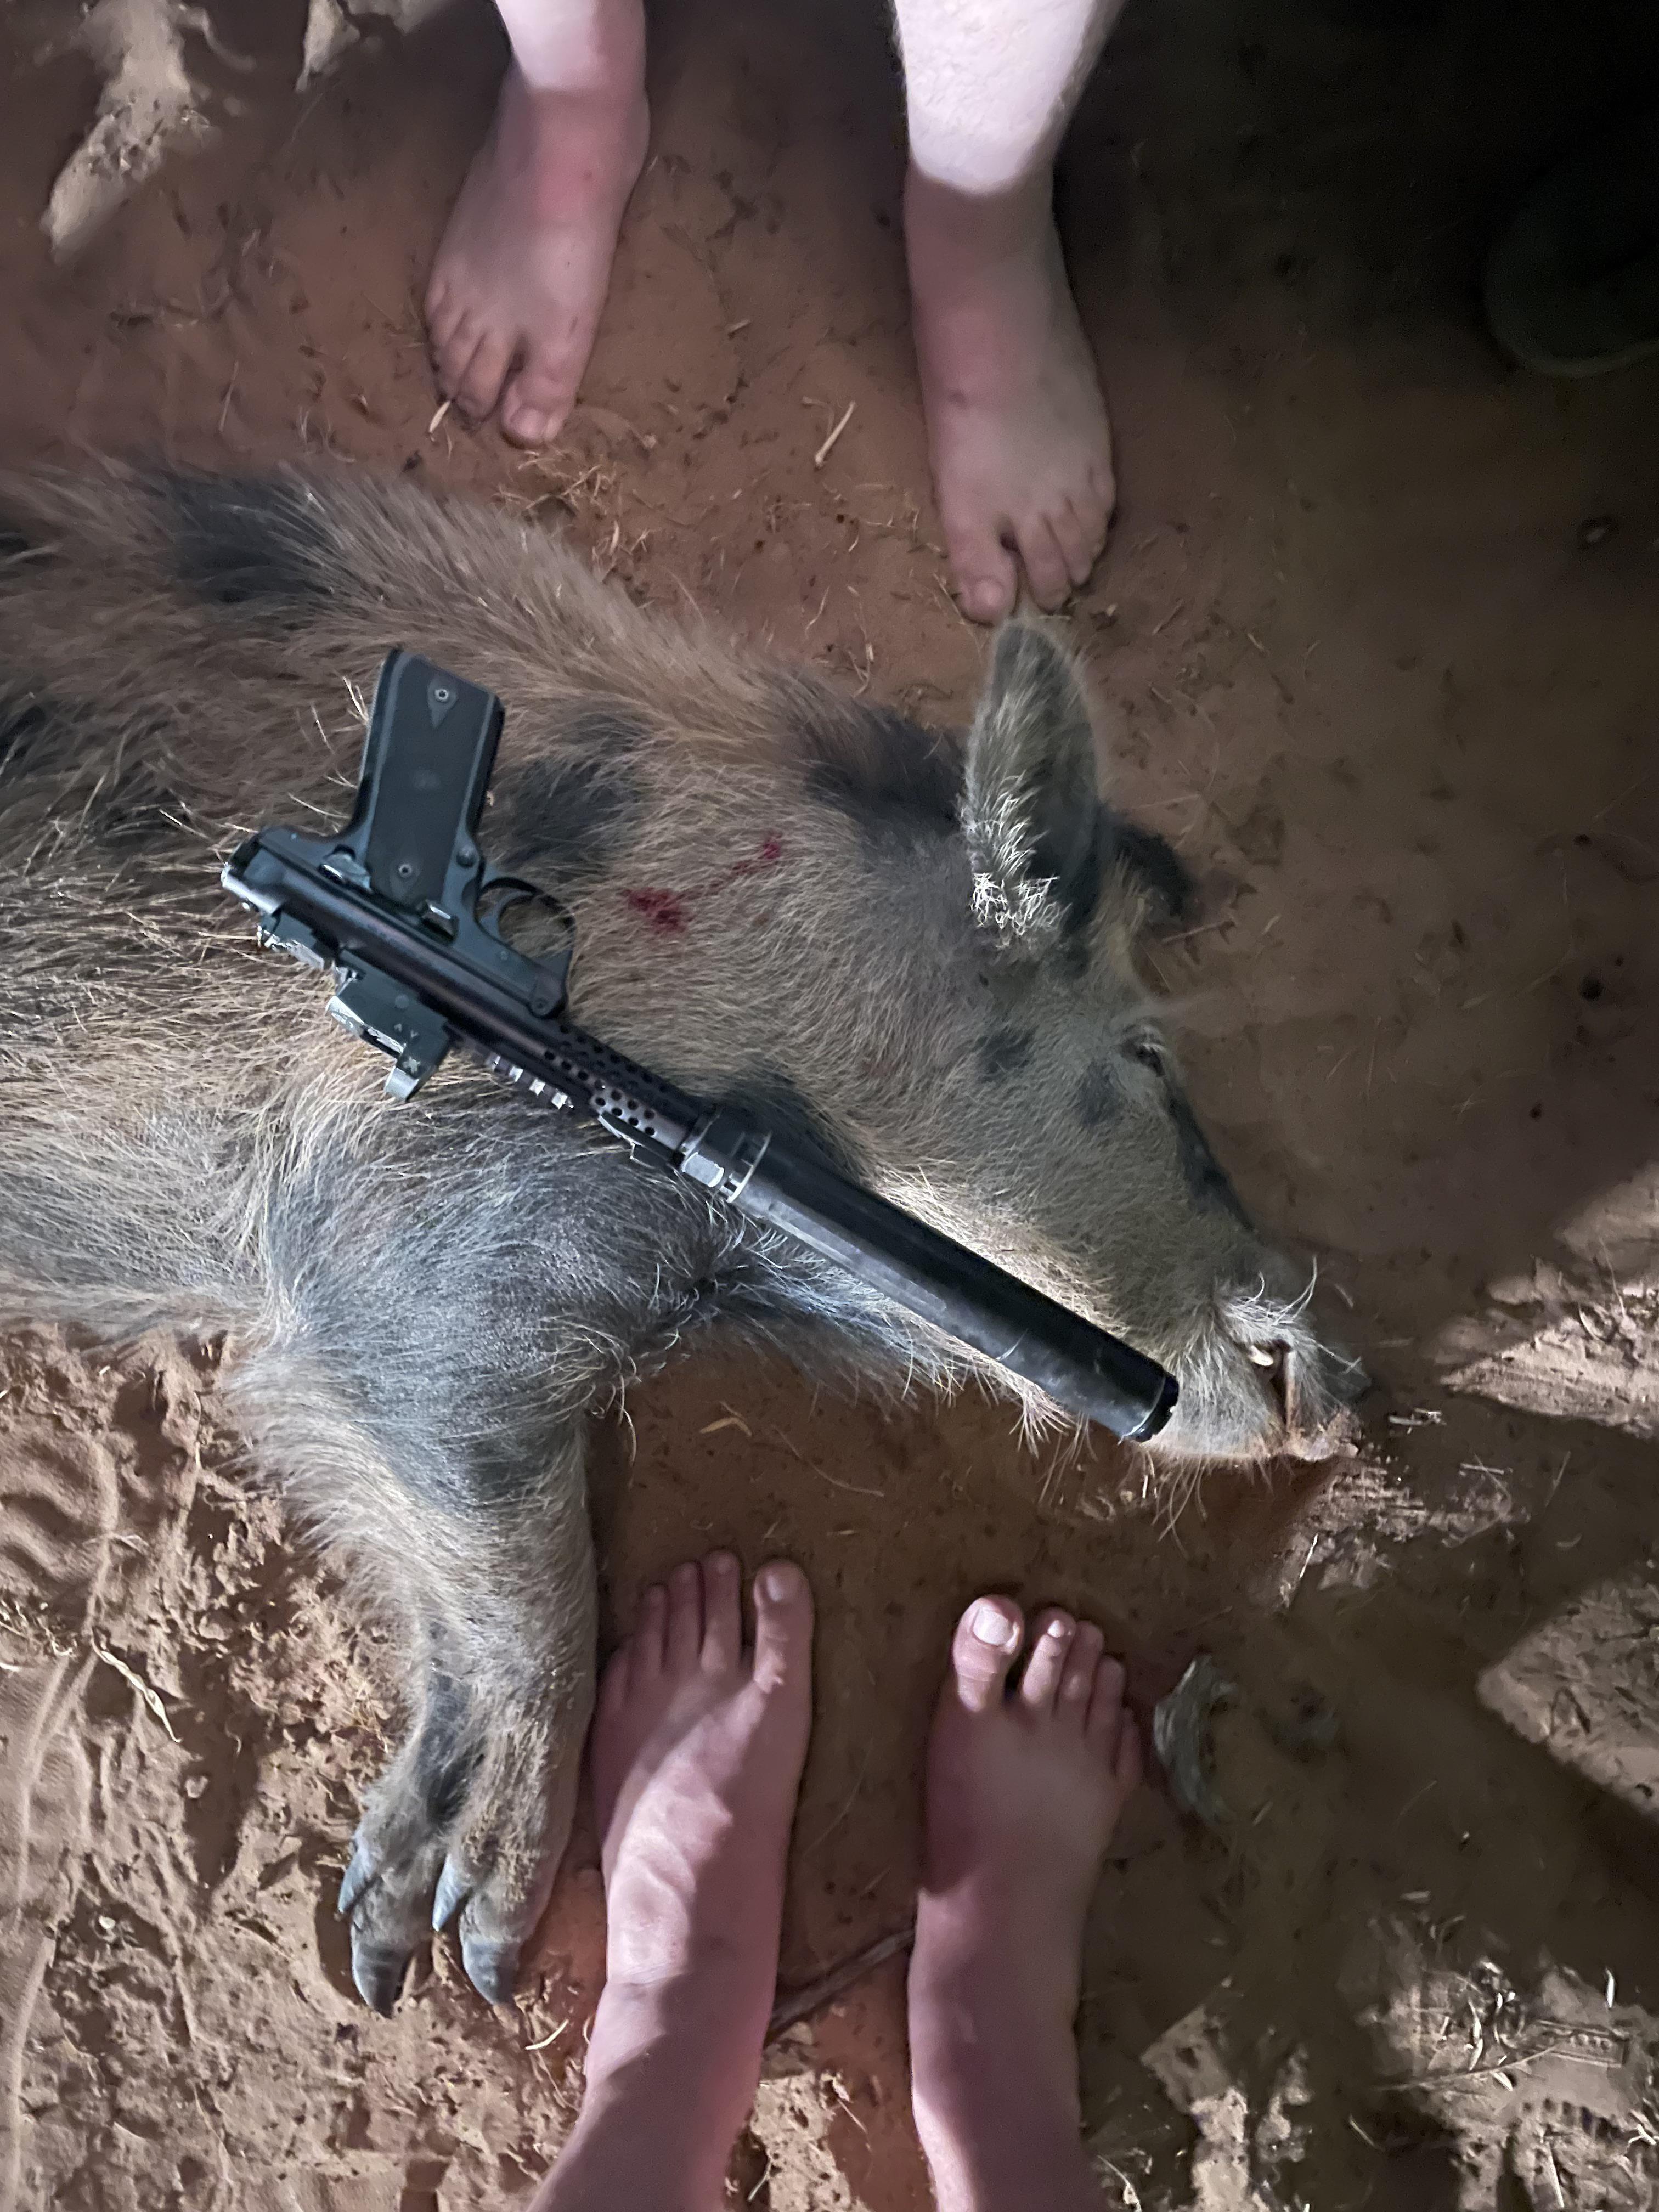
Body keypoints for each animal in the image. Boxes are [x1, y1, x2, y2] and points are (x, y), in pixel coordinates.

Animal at [0, 467, 1361, 2012]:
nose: (1349, 1385)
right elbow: (533, 1566)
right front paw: (454, 1949)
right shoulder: (414, 1275)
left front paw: (405, 1953)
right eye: (1145, 1056)